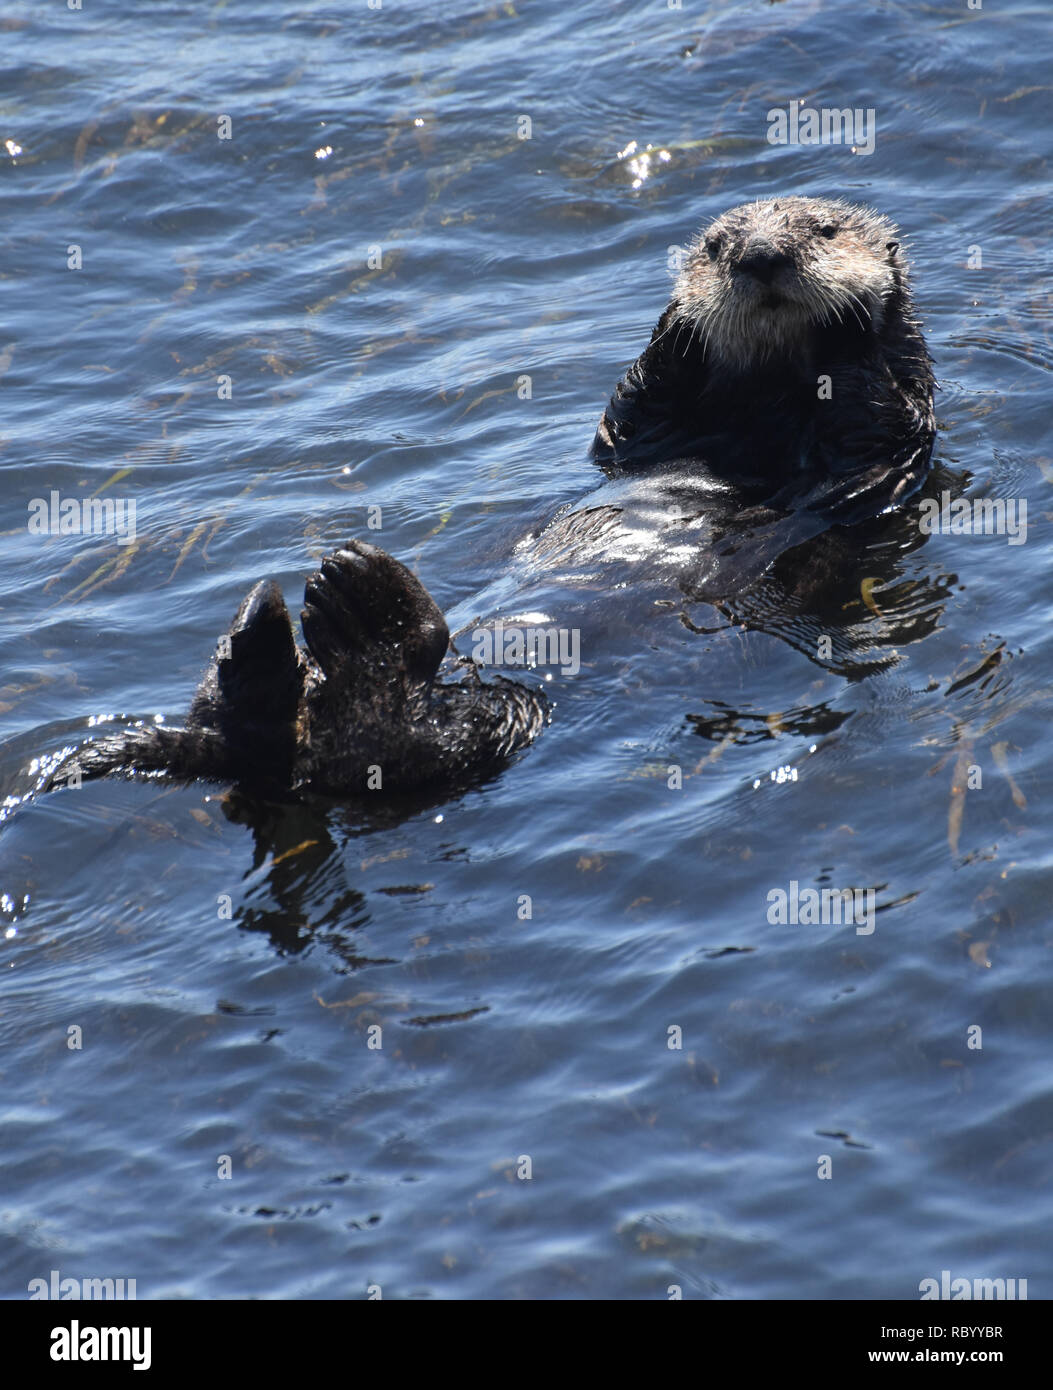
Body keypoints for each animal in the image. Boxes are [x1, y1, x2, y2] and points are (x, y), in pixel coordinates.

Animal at [36, 195, 935, 800]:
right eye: (717, 245)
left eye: (823, 231)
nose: (759, 257)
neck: (760, 414)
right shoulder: (644, 438)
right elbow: (625, 418)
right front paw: (677, 322)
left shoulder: (882, 458)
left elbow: (875, 423)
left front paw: (858, 318)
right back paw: (270, 629)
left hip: (498, 715)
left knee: (398, 742)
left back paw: (353, 605)